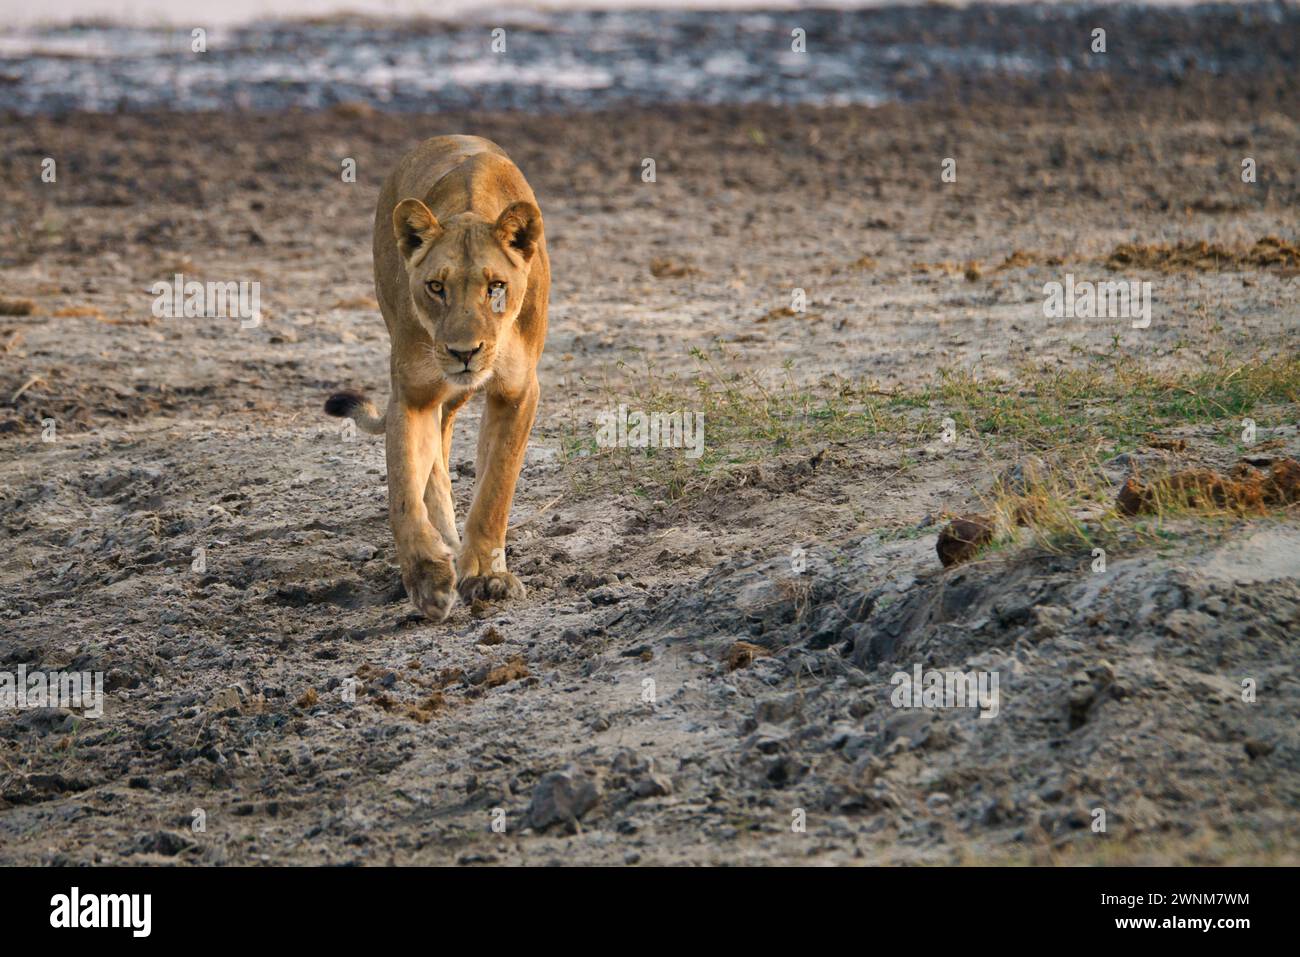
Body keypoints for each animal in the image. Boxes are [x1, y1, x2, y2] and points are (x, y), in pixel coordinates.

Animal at [325, 135, 548, 621]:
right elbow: (405, 492)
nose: (464, 353)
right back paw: (445, 541)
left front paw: (486, 575)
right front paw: (428, 577)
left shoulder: (519, 391)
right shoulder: (411, 394)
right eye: (436, 287)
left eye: (495, 287)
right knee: (436, 463)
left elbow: (496, 485)